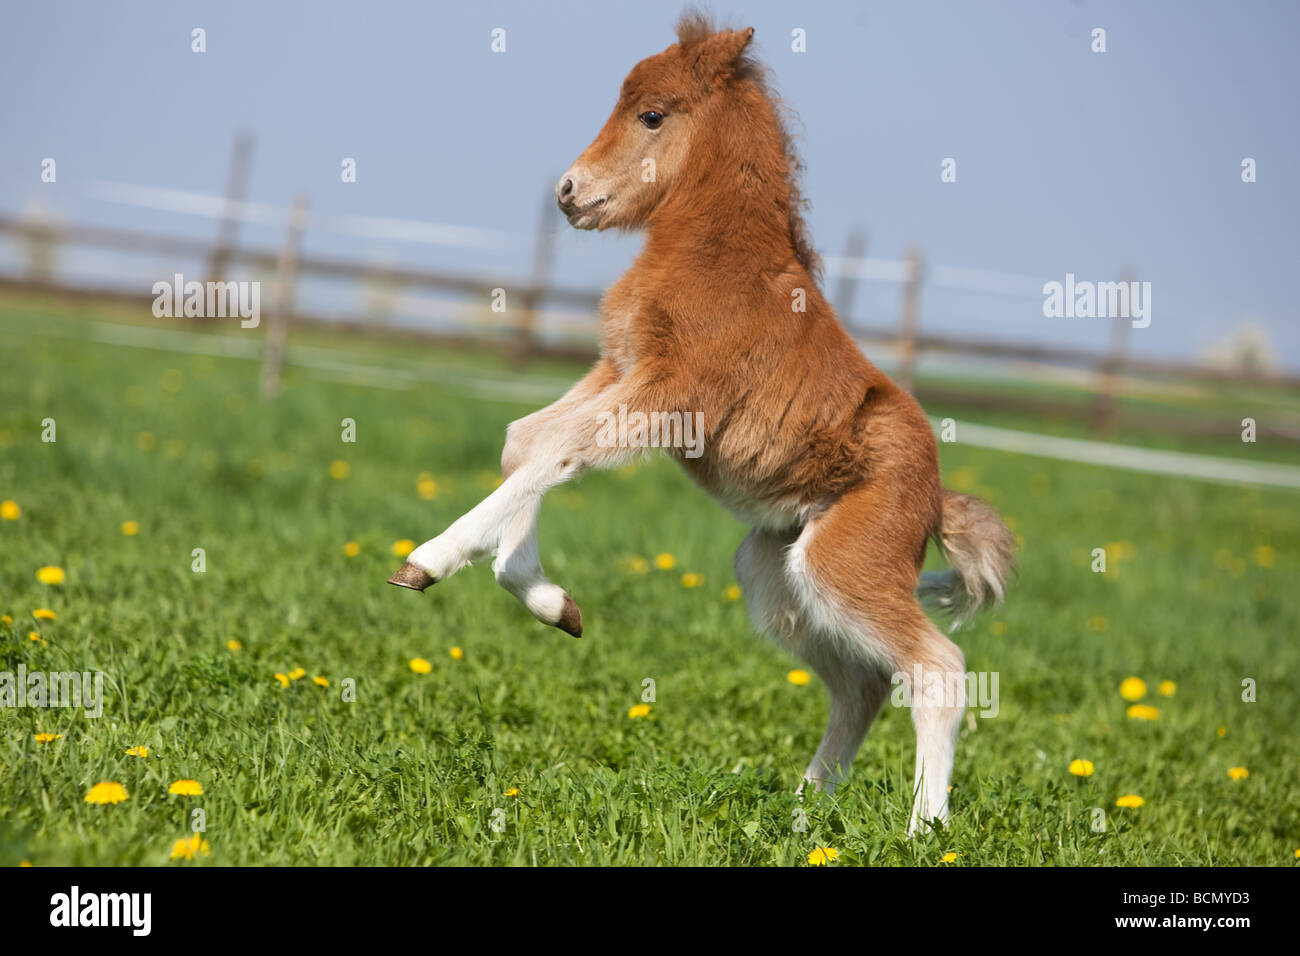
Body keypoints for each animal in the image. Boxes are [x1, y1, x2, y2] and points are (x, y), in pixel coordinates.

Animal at [388, 12, 1016, 834]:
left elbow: (556, 449)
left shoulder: (673, 394)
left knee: (936, 668)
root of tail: (937, 498)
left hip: (845, 562)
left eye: (651, 114)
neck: (712, 253)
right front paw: (551, 601)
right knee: (864, 686)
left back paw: (923, 830)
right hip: (776, 569)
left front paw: (429, 560)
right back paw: (798, 820)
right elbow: (525, 441)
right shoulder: (619, 369)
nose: (568, 192)